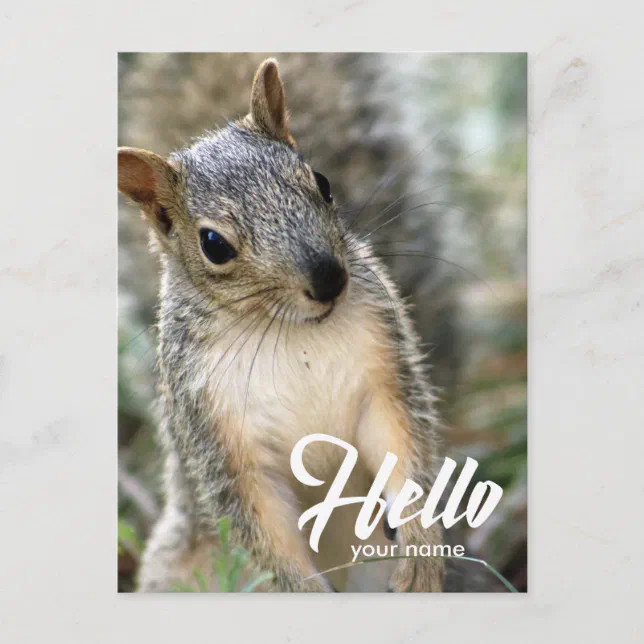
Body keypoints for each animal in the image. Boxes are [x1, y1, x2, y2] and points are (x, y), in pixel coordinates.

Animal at [118, 58, 445, 592]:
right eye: (214, 244)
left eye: (322, 182)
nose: (329, 279)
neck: (292, 336)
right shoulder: (220, 437)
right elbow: (262, 525)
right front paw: (305, 591)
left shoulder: (382, 374)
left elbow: (401, 446)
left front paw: (421, 553)